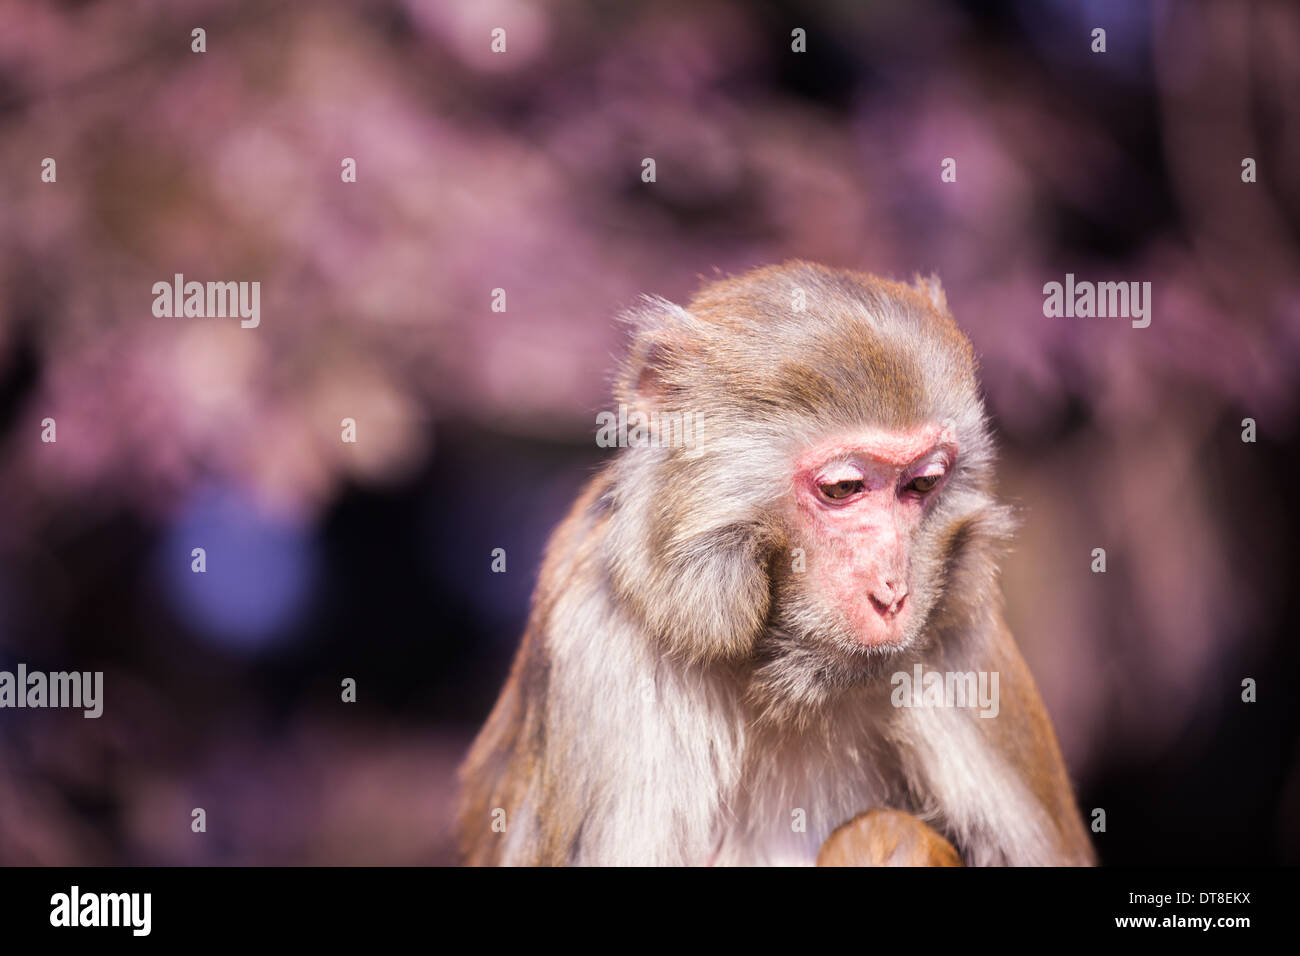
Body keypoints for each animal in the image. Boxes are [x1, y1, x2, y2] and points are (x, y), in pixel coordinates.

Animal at [457, 261, 1095, 866]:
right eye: (843, 488)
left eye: (922, 483)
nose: (893, 593)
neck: (784, 674)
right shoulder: (598, 640)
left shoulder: (960, 637)